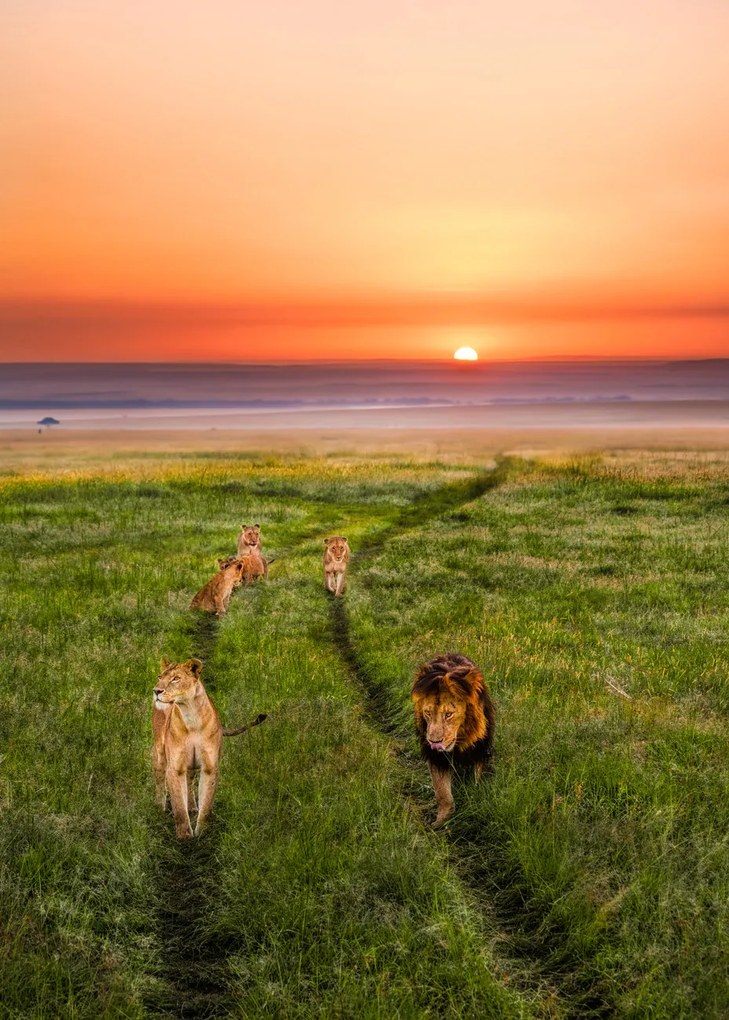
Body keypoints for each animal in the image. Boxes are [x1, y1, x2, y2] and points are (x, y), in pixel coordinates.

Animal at [152, 656, 267, 840]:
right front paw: (185, 836)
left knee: (190, 779)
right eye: (159, 676)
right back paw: (159, 807)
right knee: (159, 779)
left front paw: (201, 833)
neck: (190, 715)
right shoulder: (174, 767)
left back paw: (192, 806)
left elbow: (206, 805)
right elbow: (178, 805)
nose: (156, 691)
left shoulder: (210, 767)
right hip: (159, 753)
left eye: (175, 678)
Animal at [409, 652, 495, 828]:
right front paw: (441, 822)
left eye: (448, 714)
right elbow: (442, 793)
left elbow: (477, 778)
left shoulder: (480, 749)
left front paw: (475, 797)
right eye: (428, 713)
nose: (434, 742)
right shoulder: (437, 757)